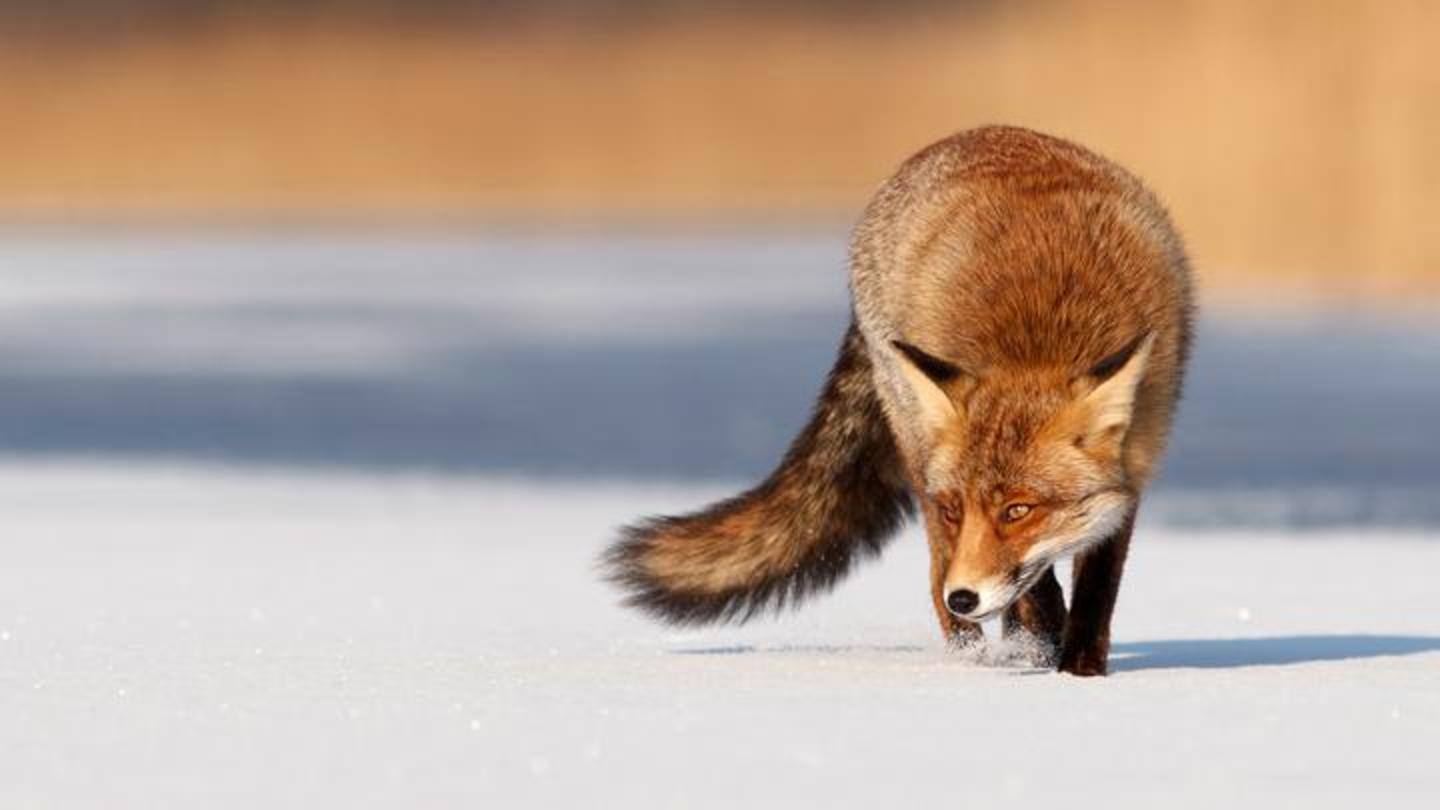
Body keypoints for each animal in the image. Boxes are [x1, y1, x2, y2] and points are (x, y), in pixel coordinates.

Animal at [603, 125, 1193, 676]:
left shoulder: (1133, 471)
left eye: (1018, 510)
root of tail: (965, 136)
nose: (966, 596)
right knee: (937, 585)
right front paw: (1044, 651)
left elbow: (1095, 598)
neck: (1041, 341)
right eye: (957, 508)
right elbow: (1037, 590)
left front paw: (1079, 673)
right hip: (916, 453)